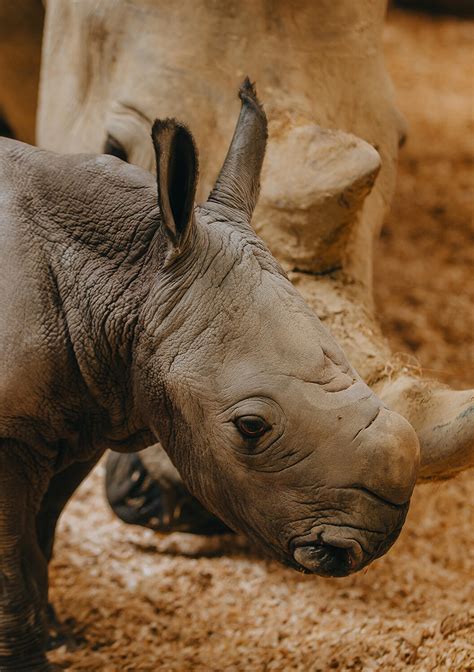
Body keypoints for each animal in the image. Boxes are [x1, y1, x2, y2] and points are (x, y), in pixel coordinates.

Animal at [0, 81, 421, 669]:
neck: (134, 269)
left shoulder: (78, 407)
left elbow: (41, 534)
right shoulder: (15, 428)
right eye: (251, 427)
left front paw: (62, 640)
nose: (367, 542)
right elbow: (11, 567)